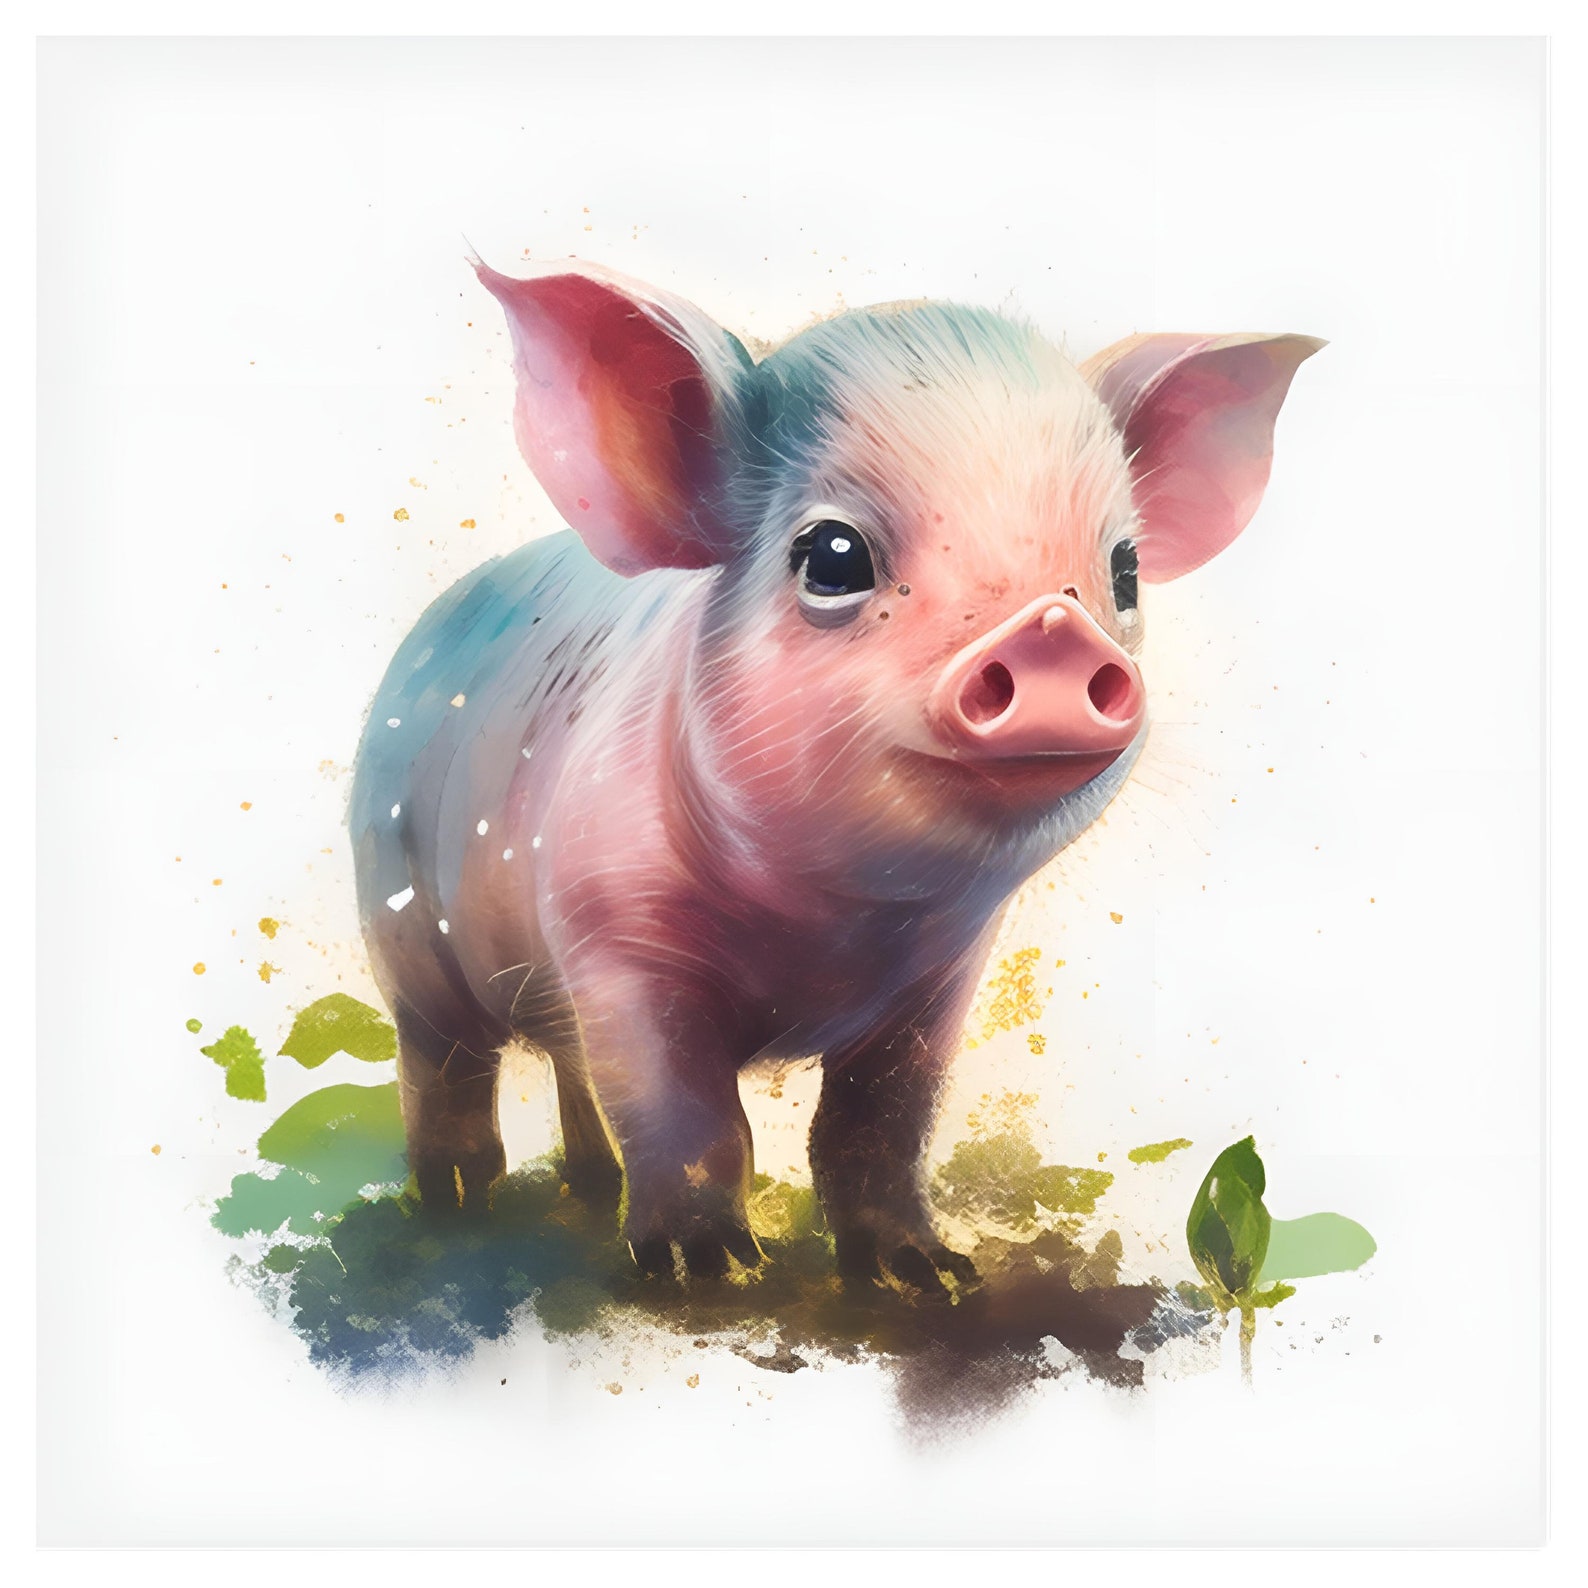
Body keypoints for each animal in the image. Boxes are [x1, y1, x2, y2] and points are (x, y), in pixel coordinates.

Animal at [349, 259, 1321, 1291]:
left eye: (1125, 569)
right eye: (832, 554)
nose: (1054, 631)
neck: (833, 926)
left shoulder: (939, 981)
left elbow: (877, 1127)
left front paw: (930, 1275)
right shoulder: (614, 938)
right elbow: (685, 1115)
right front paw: (709, 1272)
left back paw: (585, 1185)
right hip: (400, 924)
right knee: (447, 1060)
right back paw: (457, 1201)